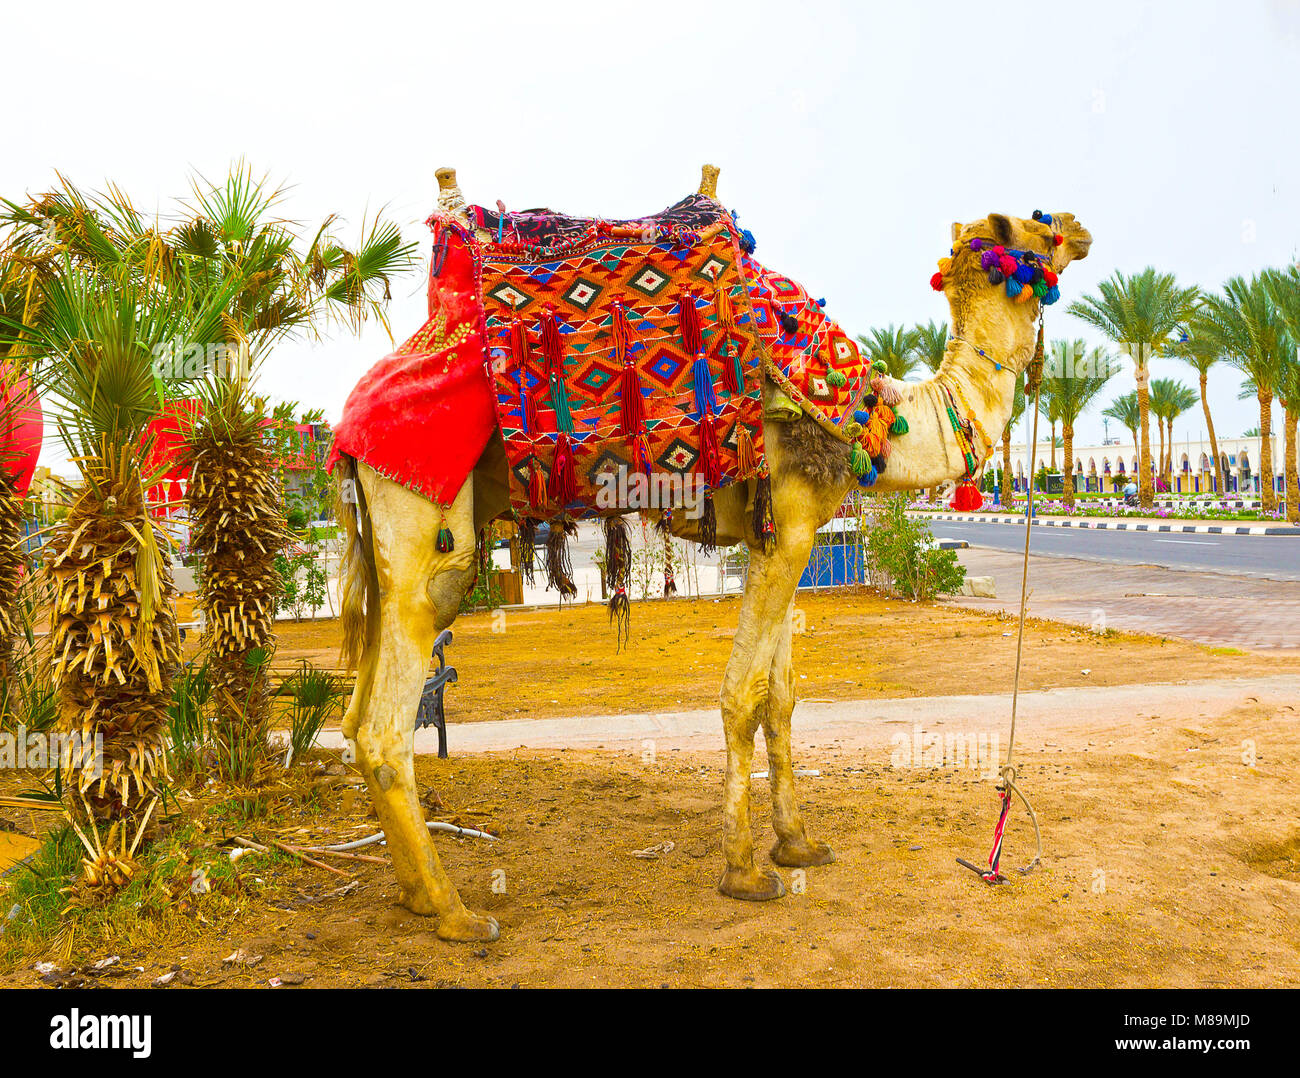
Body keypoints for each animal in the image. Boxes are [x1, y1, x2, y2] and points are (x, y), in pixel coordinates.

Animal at [334, 170, 1092, 941]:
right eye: (1034, 230)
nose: (1080, 226)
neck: (877, 420)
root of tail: (345, 430)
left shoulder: (777, 536)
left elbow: (781, 699)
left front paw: (799, 845)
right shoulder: (792, 520)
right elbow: (742, 697)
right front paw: (746, 872)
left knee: (355, 719)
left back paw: (415, 894)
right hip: (423, 514)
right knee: (386, 723)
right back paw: (456, 914)